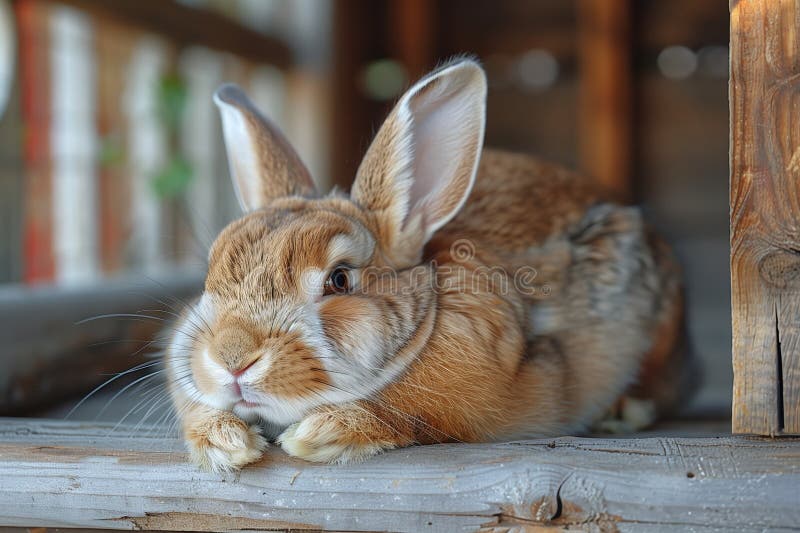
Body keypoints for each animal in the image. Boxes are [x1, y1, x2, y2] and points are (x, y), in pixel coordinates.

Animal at [166, 58, 696, 473]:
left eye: (340, 279)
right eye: (211, 273)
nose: (232, 359)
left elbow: (410, 412)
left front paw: (319, 434)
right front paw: (225, 443)